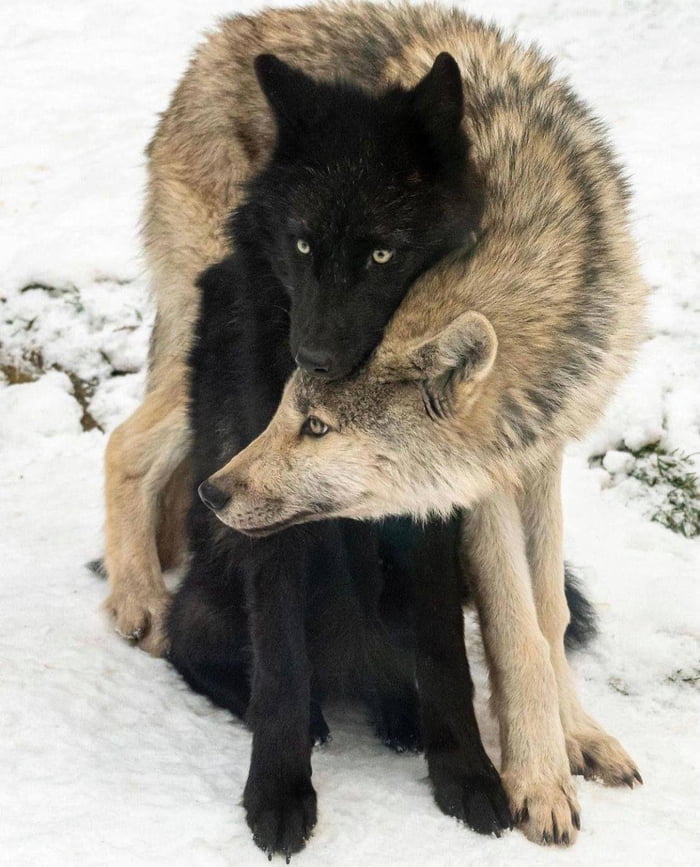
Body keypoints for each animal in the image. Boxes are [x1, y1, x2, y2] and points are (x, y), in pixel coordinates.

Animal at [195, 23, 648, 848]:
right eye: (289, 413)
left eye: (317, 425)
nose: (214, 489)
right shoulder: (483, 484)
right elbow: (515, 630)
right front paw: (537, 780)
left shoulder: (537, 451)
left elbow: (547, 615)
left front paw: (572, 737)